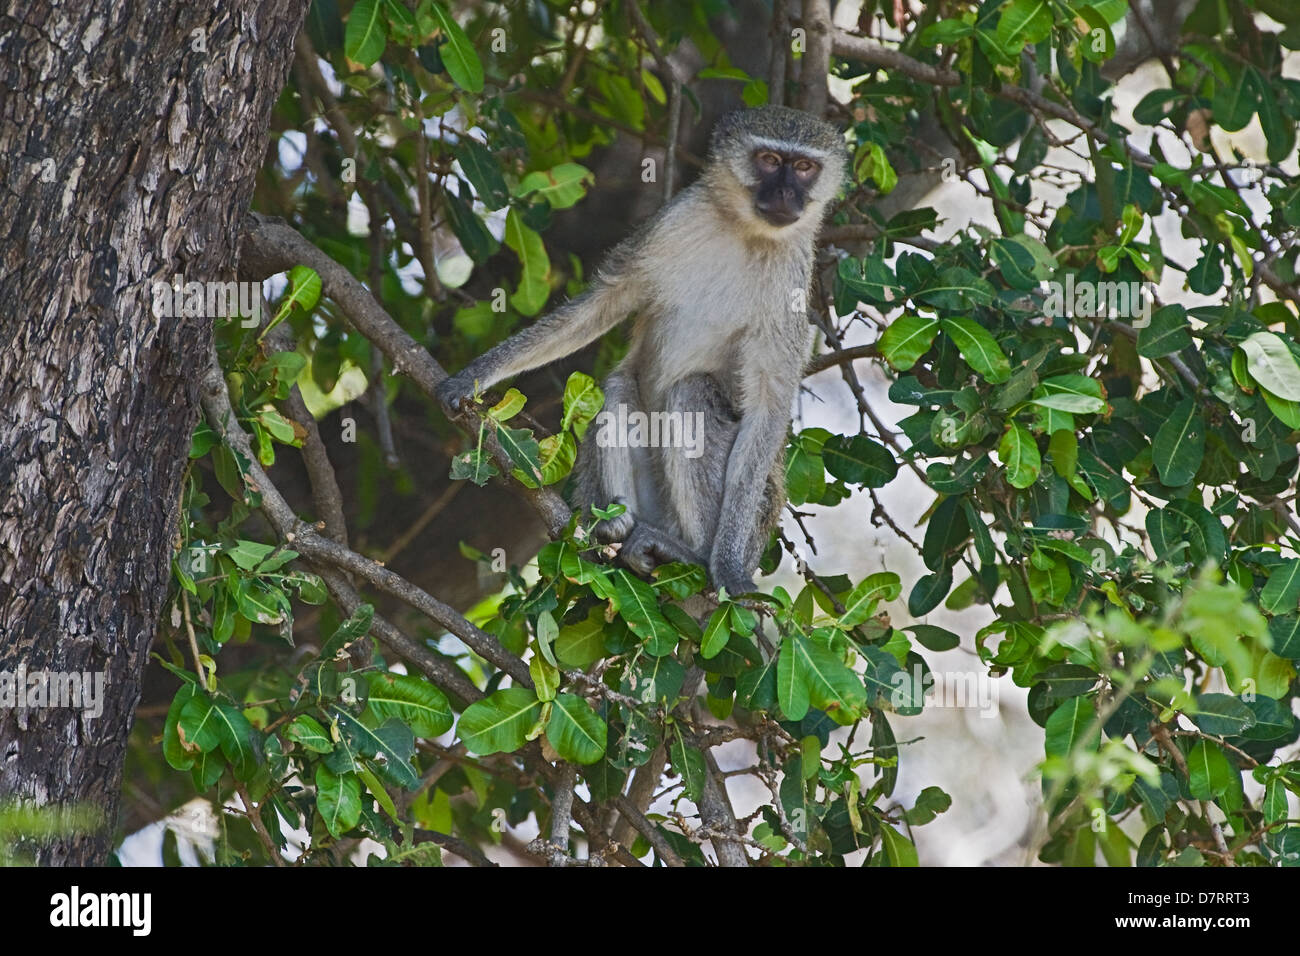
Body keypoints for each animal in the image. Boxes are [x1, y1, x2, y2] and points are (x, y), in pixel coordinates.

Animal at [437, 106, 845, 596]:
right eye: (768, 160)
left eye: (804, 167)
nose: (786, 193)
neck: (745, 232)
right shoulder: (674, 220)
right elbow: (603, 302)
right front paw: (476, 375)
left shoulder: (793, 280)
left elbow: (768, 404)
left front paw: (727, 567)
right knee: (617, 386)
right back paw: (612, 528)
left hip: (756, 515)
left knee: (692, 393)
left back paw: (688, 554)